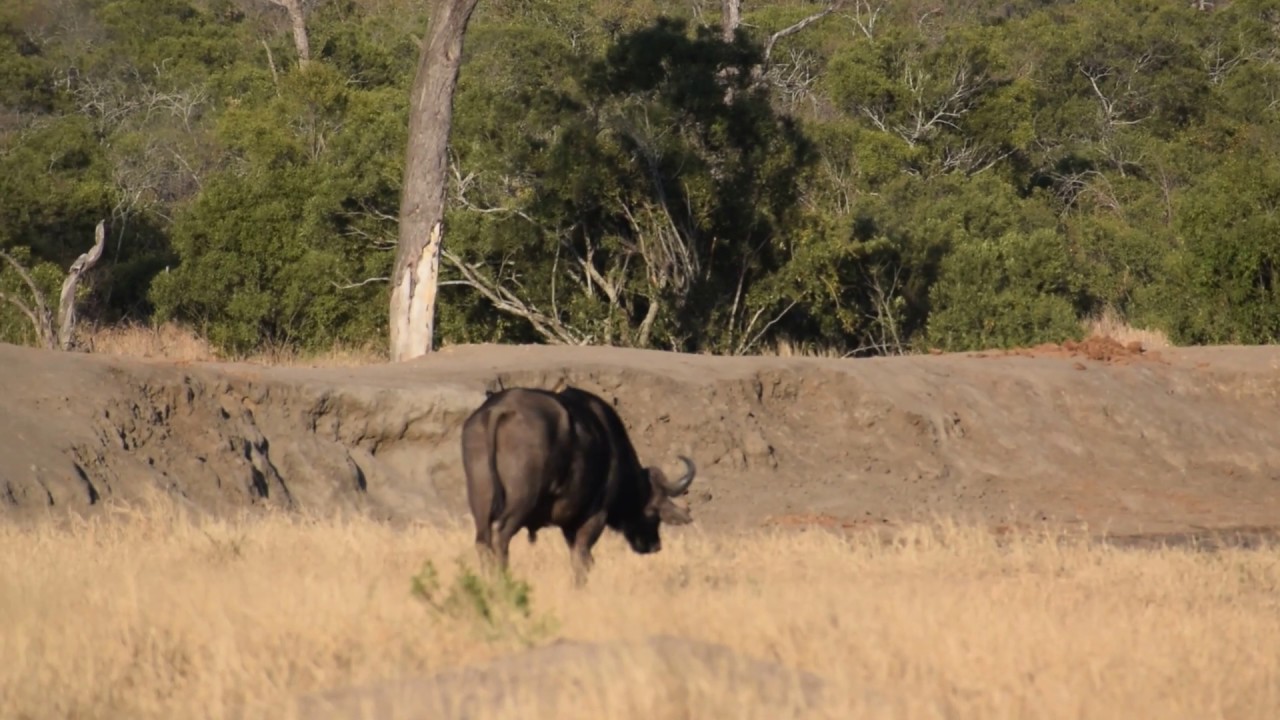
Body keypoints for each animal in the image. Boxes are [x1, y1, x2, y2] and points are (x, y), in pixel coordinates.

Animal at [460, 384, 696, 585]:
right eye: (653, 511)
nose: (654, 545)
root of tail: (500, 409)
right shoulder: (593, 516)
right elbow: (583, 559)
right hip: (522, 500)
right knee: (500, 537)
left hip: (480, 501)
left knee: (483, 543)